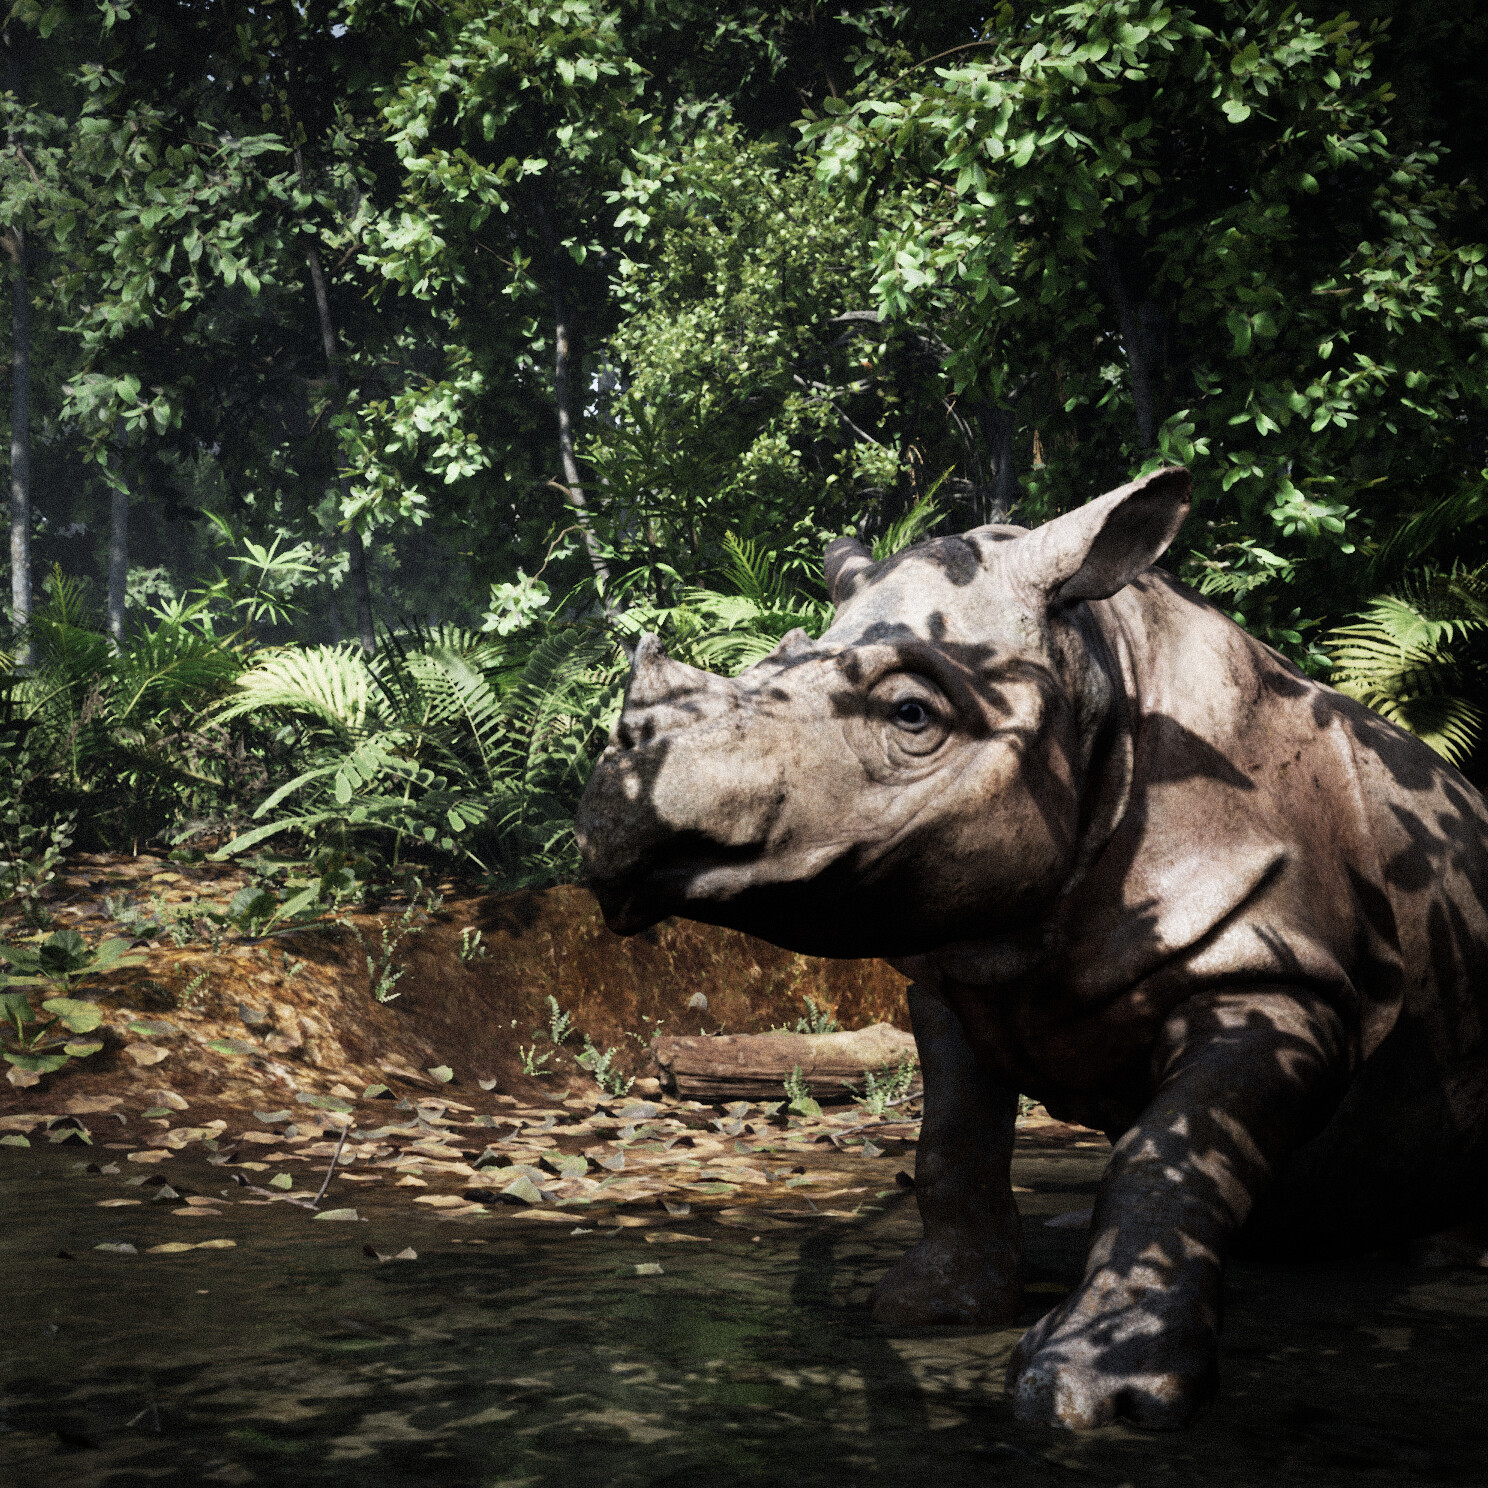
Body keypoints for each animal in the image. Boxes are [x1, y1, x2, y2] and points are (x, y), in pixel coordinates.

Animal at [574, 467, 1488, 1430]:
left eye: (911, 713)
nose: (626, 801)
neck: (1097, 671)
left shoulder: (1279, 975)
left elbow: (1170, 1154)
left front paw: (1099, 1394)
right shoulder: (952, 964)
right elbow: (951, 1141)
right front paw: (930, 1307)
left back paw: (1447, 1258)